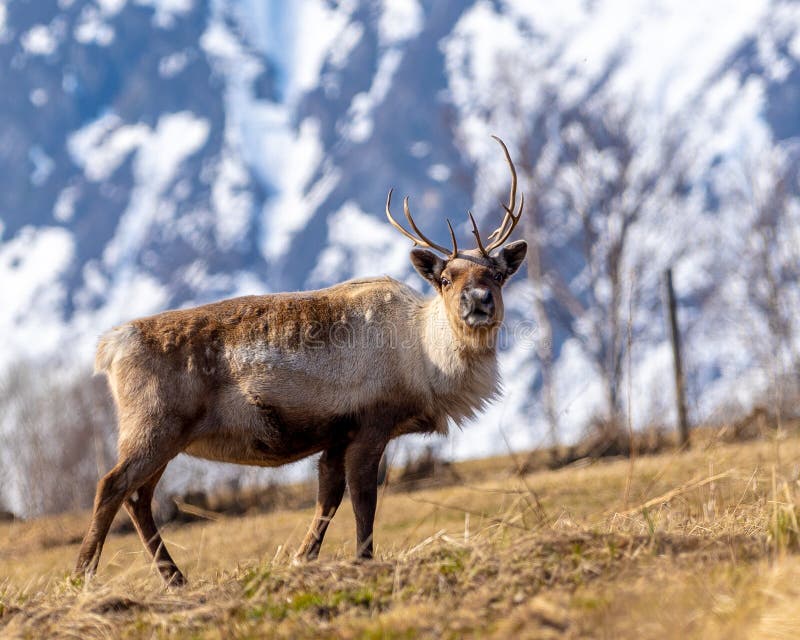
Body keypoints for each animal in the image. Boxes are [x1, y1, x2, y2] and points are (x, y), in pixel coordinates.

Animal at [75, 136, 528, 585]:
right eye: (446, 279)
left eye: (497, 275)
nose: (478, 302)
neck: (423, 358)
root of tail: (109, 347)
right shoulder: (371, 423)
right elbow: (363, 499)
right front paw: (363, 559)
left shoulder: (337, 435)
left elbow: (328, 497)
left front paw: (303, 557)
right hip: (154, 425)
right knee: (111, 485)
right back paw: (83, 575)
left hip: (168, 436)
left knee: (138, 496)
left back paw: (174, 578)